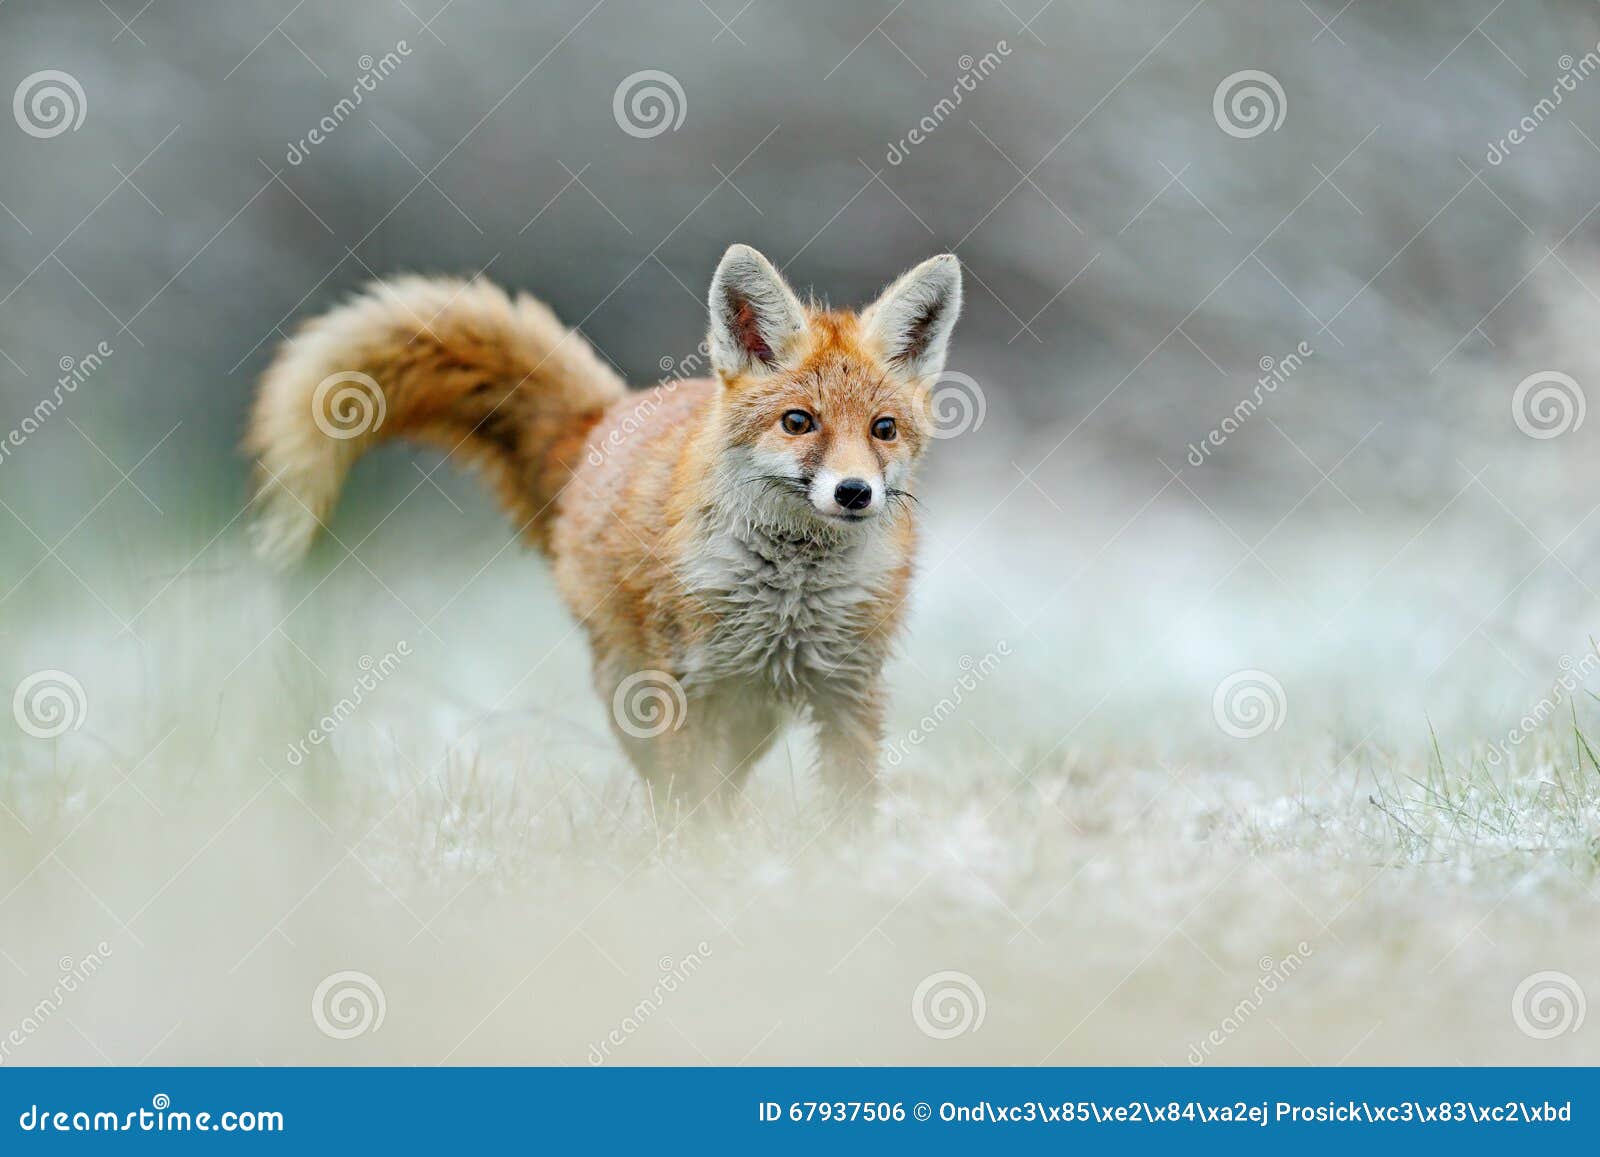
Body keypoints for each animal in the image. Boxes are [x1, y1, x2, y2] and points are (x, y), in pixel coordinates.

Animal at [246, 244, 963, 817]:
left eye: (883, 429)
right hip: (634, 688)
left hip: (752, 716)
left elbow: (848, 811)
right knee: (672, 786)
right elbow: (694, 807)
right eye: (798, 422)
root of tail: (605, 418)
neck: (790, 593)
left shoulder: (850, 691)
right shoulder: (684, 687)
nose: (854, 492)